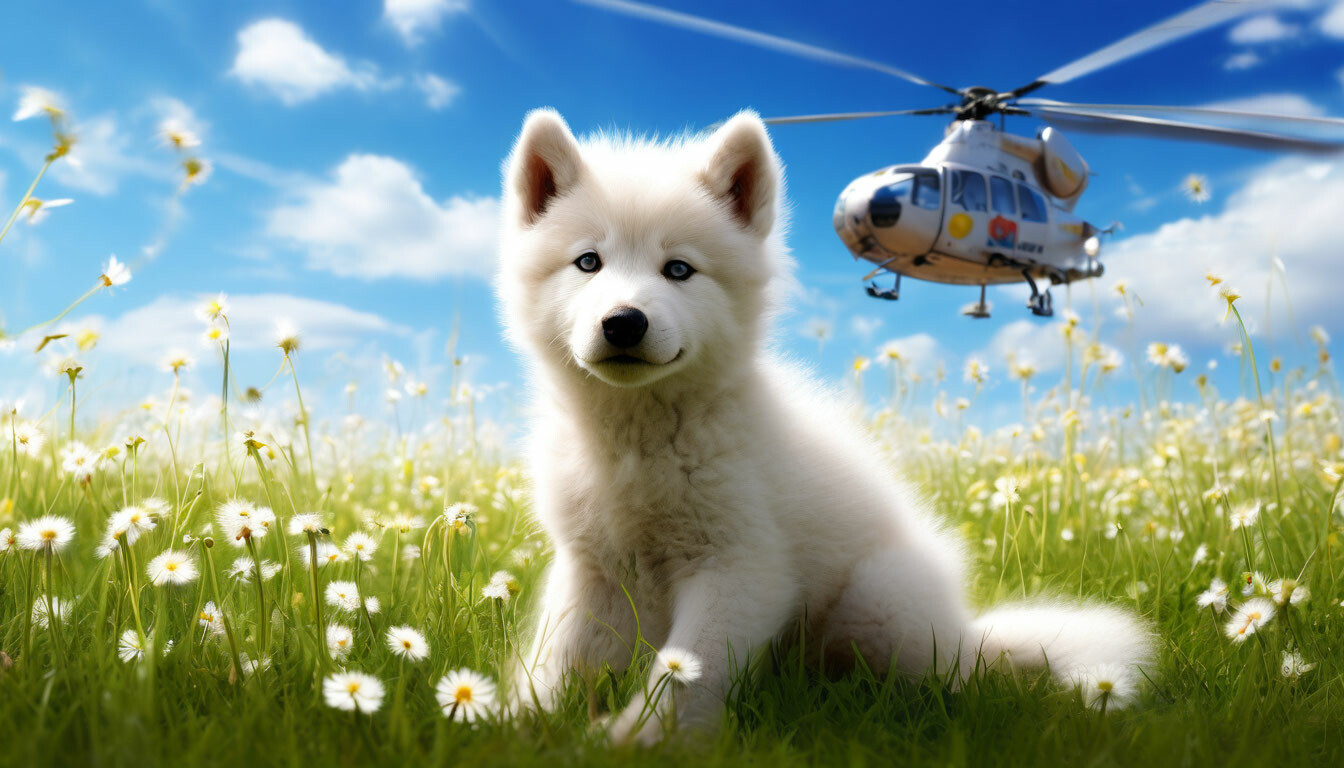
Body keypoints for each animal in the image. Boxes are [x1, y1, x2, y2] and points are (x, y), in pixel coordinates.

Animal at [495, 108, 1154, 744]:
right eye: (588, 262)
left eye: (678, 269)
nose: (624, 323)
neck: (638, 440)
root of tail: (969, 635)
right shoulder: (592, 570)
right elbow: (558, 659)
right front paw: (519, 723)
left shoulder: (740, 566)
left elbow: (685, 673)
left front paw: (639, 739)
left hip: (878, 597)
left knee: (936, 683)